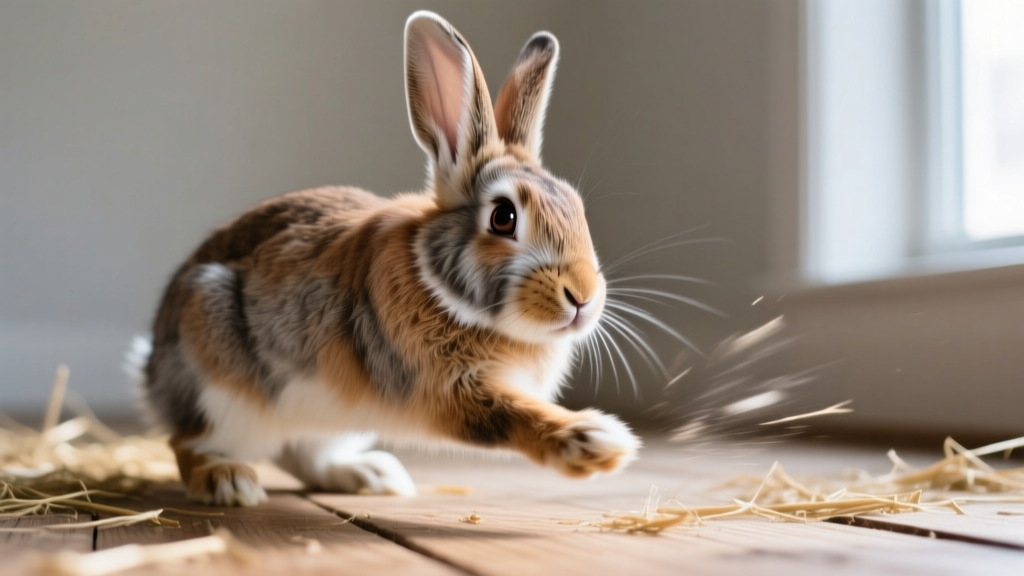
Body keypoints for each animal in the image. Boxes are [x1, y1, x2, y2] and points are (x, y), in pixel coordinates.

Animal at [139, 10, 641, 506]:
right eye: (503, 217)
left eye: (576, 207)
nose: (583, 297)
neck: (439, 286)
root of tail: (152, 375)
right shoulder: (447, 388)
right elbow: (508, 413)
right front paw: (596, 440)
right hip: (220, 387)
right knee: (187, 442)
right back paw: (228, 481)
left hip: (326, 422)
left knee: (301, 454)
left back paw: (370, 475)